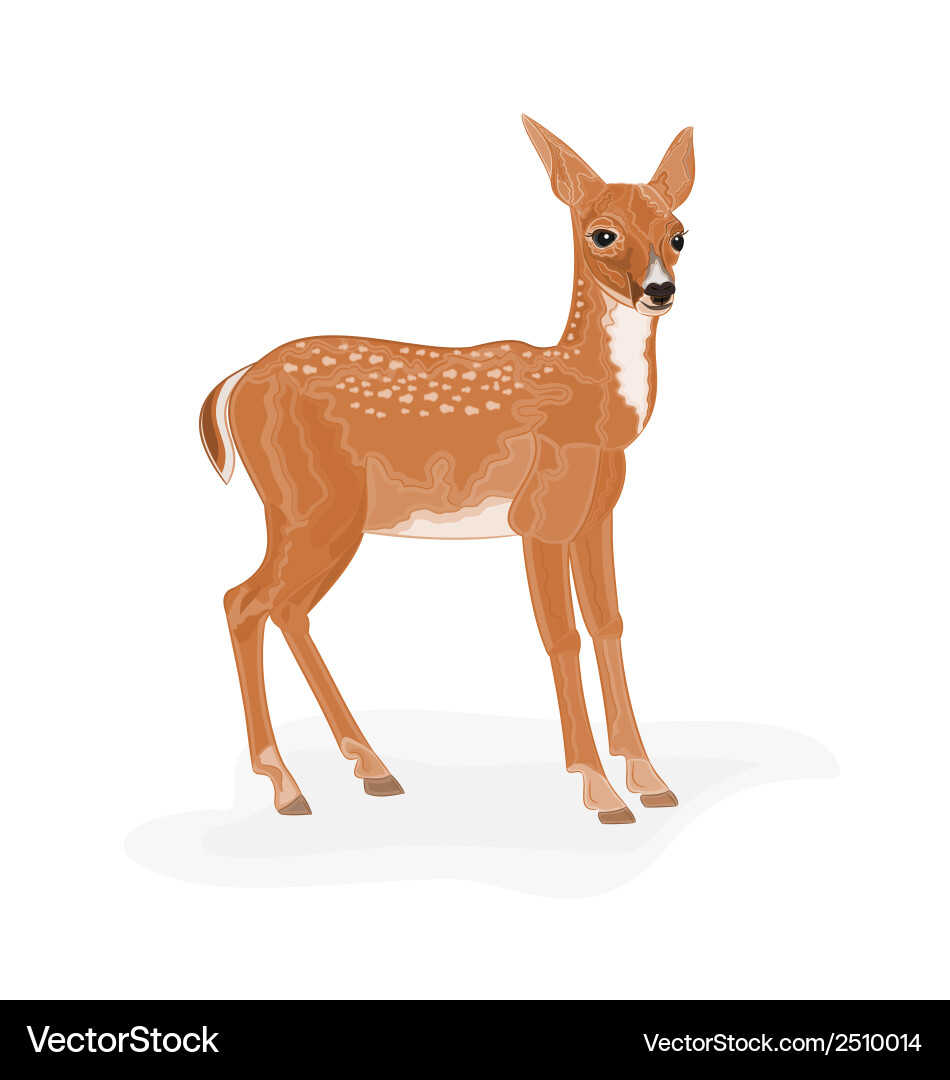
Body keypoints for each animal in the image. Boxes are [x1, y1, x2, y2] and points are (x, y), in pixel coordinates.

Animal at [200, 116, 694, 824]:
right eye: (602, 232)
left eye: (680, 233)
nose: (660, 290)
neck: (591, 403)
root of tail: (233, 382)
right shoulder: (538, 517)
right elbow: (561, 636)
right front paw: (599, 792)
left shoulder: (595, 513)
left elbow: (610, 625)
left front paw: (650, 780)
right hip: (313, 508)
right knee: (243, 601)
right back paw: (287, 786)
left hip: (317, 516)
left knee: (284, 608)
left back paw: (371, 769)